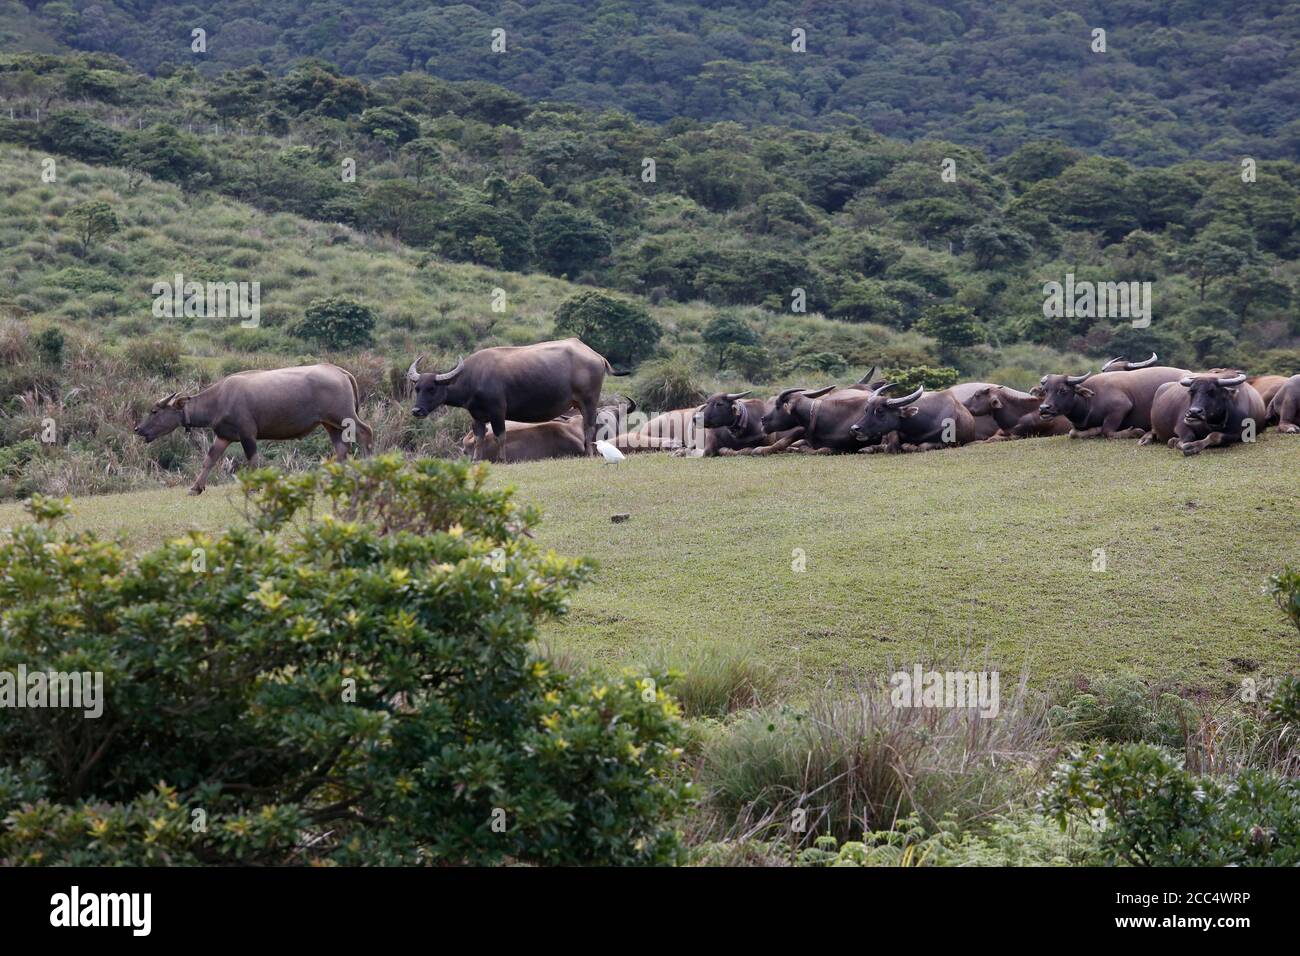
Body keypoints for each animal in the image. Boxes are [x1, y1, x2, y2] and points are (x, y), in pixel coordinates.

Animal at [134, 363, 372, 495]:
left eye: (154, 411)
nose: (138, 429)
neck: (219, 399)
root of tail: (339, 371)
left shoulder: (248, 435)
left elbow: (253, 460)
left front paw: (254, 487)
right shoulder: (223, 437)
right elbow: (209, 459)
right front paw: (195, 488)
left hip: (344, 416)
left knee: (365, 431)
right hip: (329, 423)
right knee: (341, 448)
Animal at [407, 338, 626, 460]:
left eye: (432, 388)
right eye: (417, 388)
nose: (416, 411)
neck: (473, 377)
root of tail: (596, 356)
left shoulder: (498, 411)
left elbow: (500, 436)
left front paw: (503, 460)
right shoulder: (477, 416)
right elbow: (479, 437)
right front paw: (476, 460)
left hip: (589, 401)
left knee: (589, 426)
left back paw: (589, 453)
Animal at [849, 384, 982, 452]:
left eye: (880, 411)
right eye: (866, 409)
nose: (854, 428)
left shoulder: (949, 442)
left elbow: (922, 446)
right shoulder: (894, 433)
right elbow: (893, 445)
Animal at [1032, 365, 1188, 439]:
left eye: (1062, 390)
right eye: (1045, 390)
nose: (1044, 408)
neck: (1089, 402)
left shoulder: (1121, 407)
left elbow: (1107, 431)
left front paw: (1134, 431)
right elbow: (1072, 433)